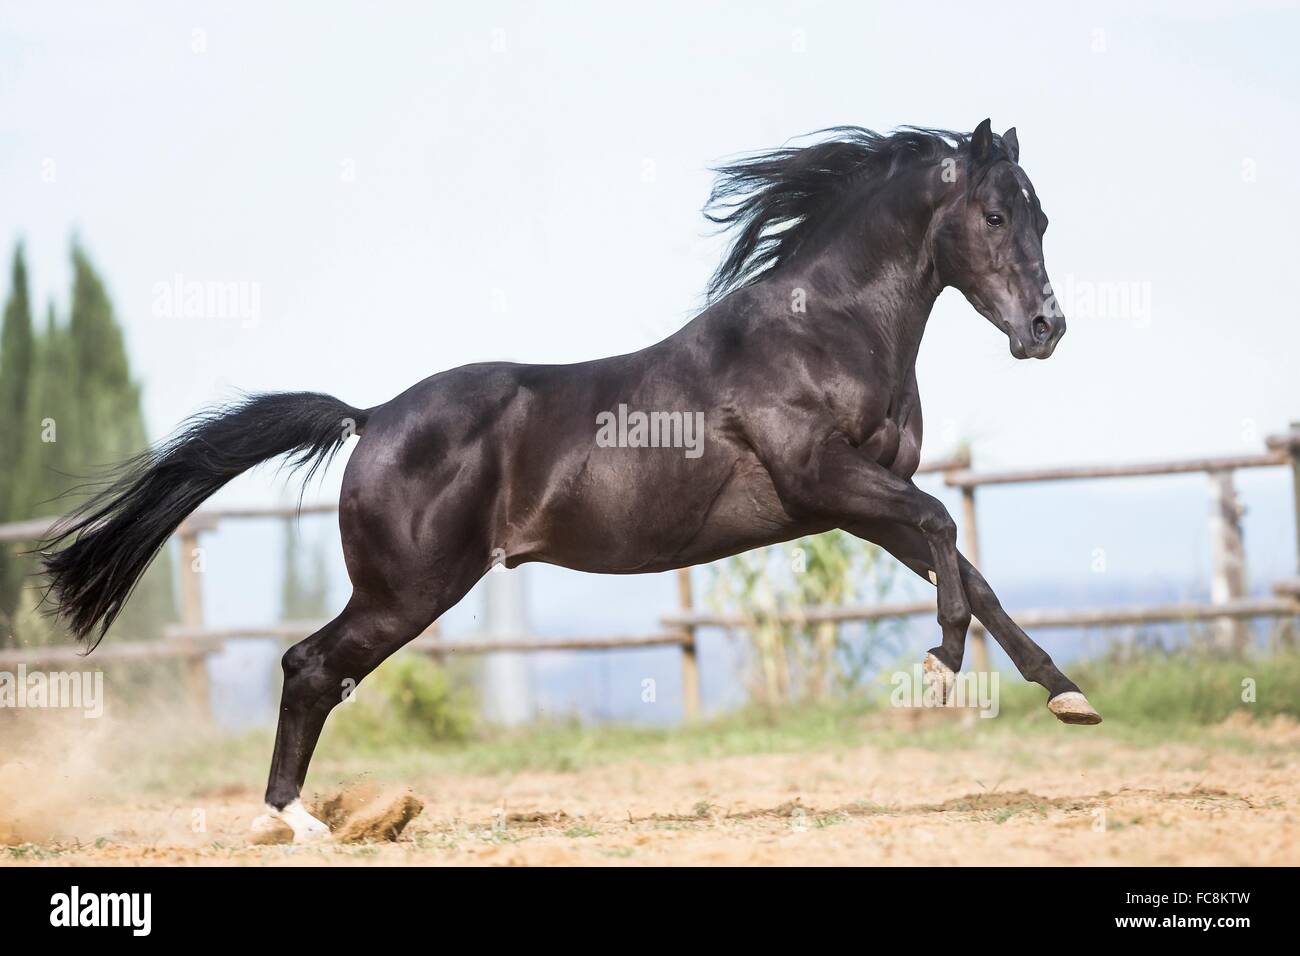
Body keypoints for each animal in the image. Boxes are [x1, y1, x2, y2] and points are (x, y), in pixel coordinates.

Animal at [40, 118, 1100, 844]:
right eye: (996, 213)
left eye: (1046, 213)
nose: (1045, 330)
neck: (819, 330)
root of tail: (370, 417)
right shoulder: (825, 481)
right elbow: (945, 528)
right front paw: (943, 660)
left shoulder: (860, 503)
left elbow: (967, 564)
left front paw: (1067, 698)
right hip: (408, 590)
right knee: (308, 666)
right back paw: (295, 823)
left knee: (313, 667)